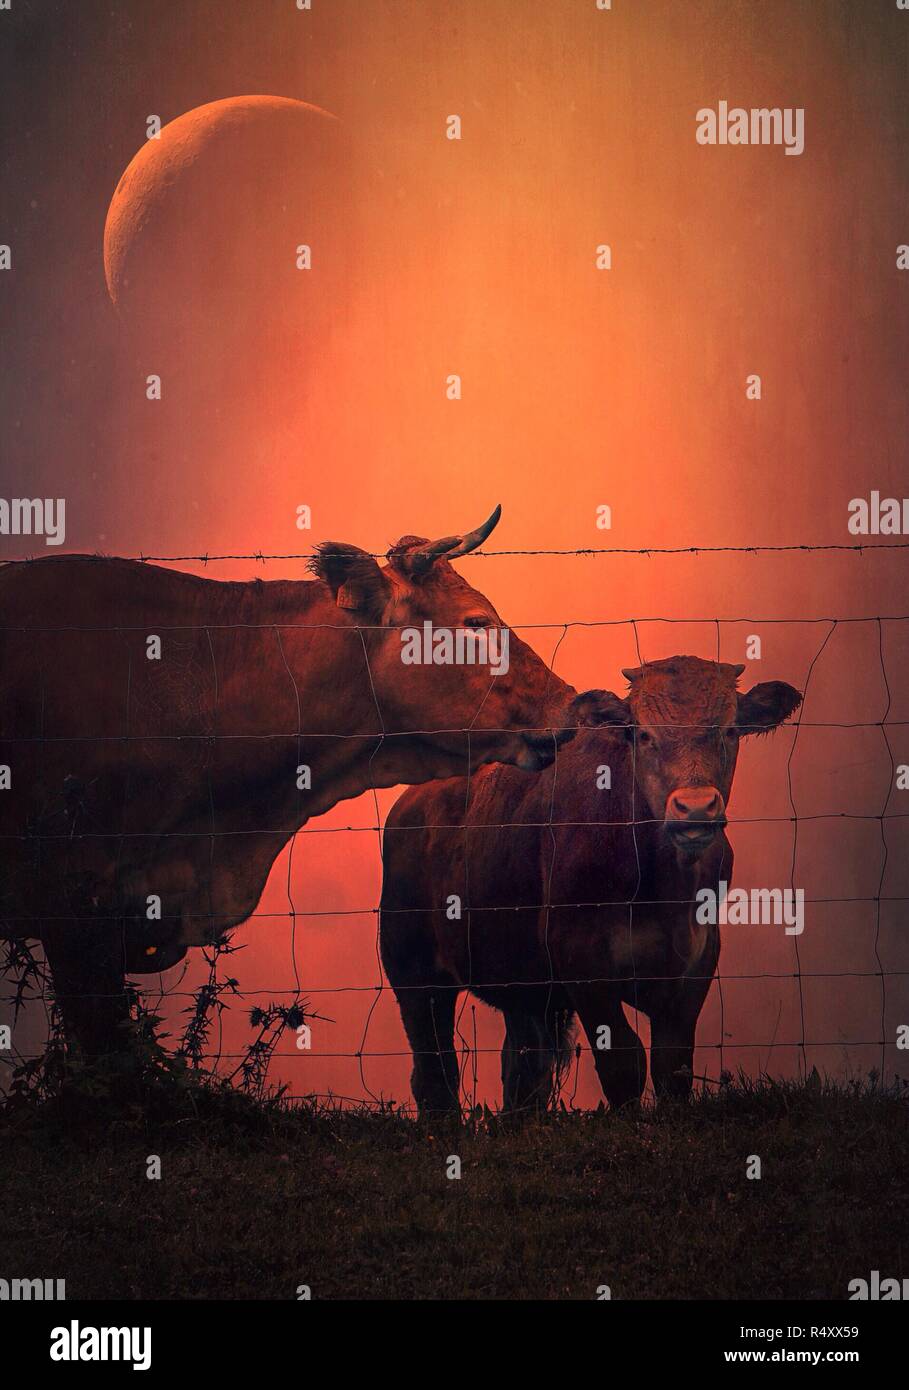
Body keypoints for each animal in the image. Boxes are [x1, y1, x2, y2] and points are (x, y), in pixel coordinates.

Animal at [380, 656, 802, 1117]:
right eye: (643, 734)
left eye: (728, 730)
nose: (694, 808)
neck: (659, 886)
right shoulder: (581, 961)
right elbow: (624, 1062)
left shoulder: (696, 961)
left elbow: (673, 1067)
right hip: (413, 973)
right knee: (434, 1071)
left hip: (523, 985)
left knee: (524, 1070)